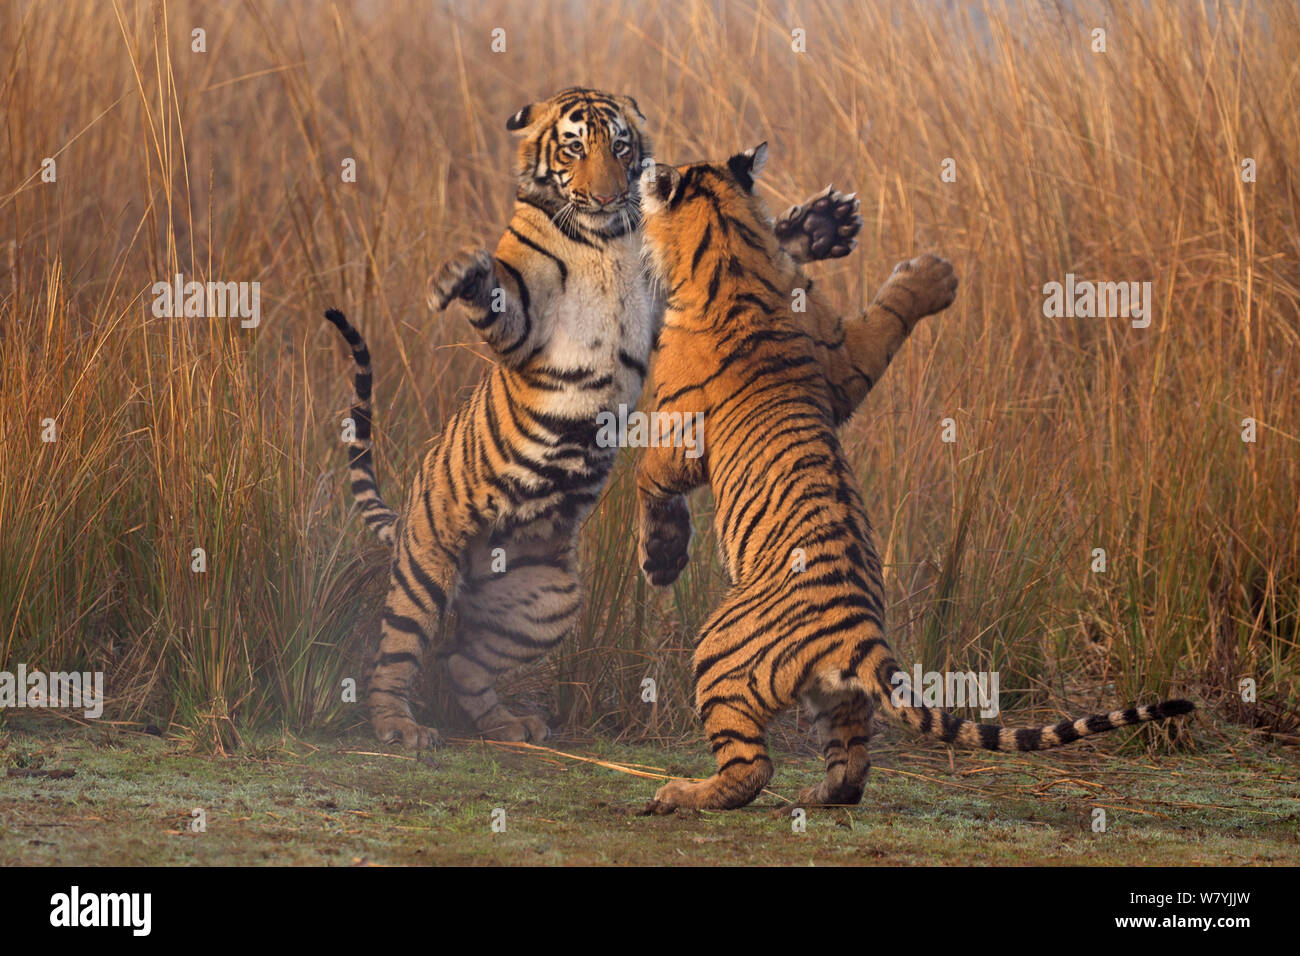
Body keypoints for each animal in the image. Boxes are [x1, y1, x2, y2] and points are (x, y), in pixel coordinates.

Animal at [324, 89, 864, 748]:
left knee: (461, 660)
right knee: (396, 654)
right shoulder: (526, 327)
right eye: (574, 148)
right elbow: (496, 299)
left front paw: (820, 224)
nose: (608, 197)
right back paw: (399, 726)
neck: (603, 238)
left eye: (622, 148)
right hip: (428, 564)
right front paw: (459, 274)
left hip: (547, 601)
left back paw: (511, 725)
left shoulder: (665, 289)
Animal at [632, 143, 1195, 812]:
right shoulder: (841, 361)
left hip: (719, 655)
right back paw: (819, 795)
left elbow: (650, 479)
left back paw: (678, 794)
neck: (734, 253)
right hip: (837, 698)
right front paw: (930, 275)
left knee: (752, 768)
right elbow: (884, 317)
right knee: (852, 764)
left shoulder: (678, 429)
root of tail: (860, 633)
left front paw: (660, 558)